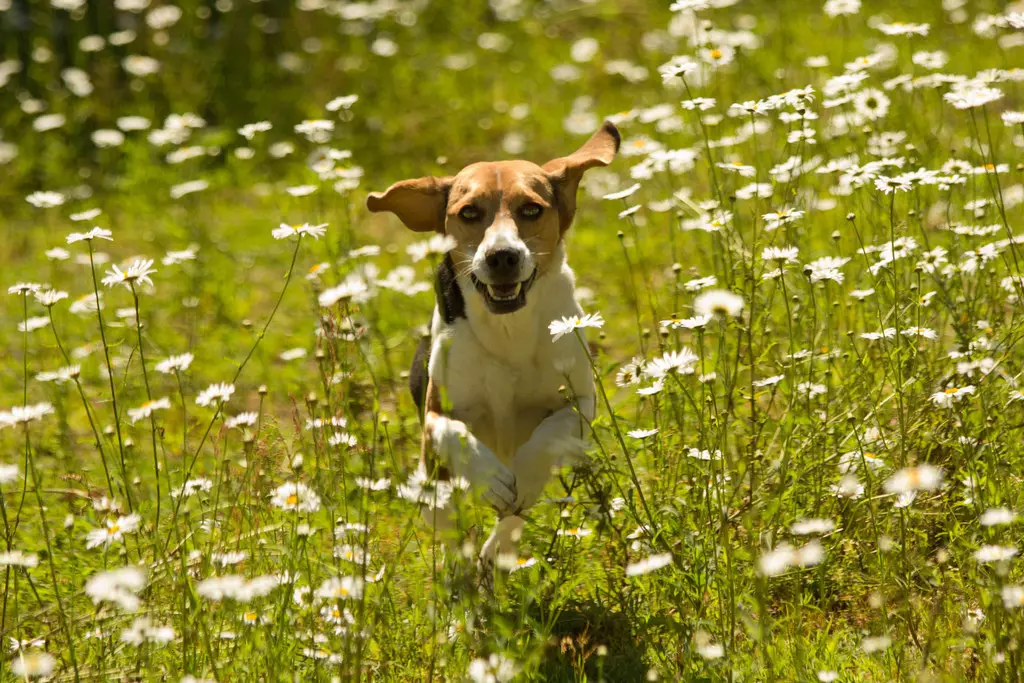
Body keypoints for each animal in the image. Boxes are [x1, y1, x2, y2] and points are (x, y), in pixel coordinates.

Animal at [366, 121, 618, 565]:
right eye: (469, 213)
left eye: (531, 209)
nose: (502, 256)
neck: (508, 330)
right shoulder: (435, 413)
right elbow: (451, 431)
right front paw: (490, 480)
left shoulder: (581, 404)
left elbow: (548, 437)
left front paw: (522, 480)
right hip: (429, 484)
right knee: (446, 516)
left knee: (511, 519)